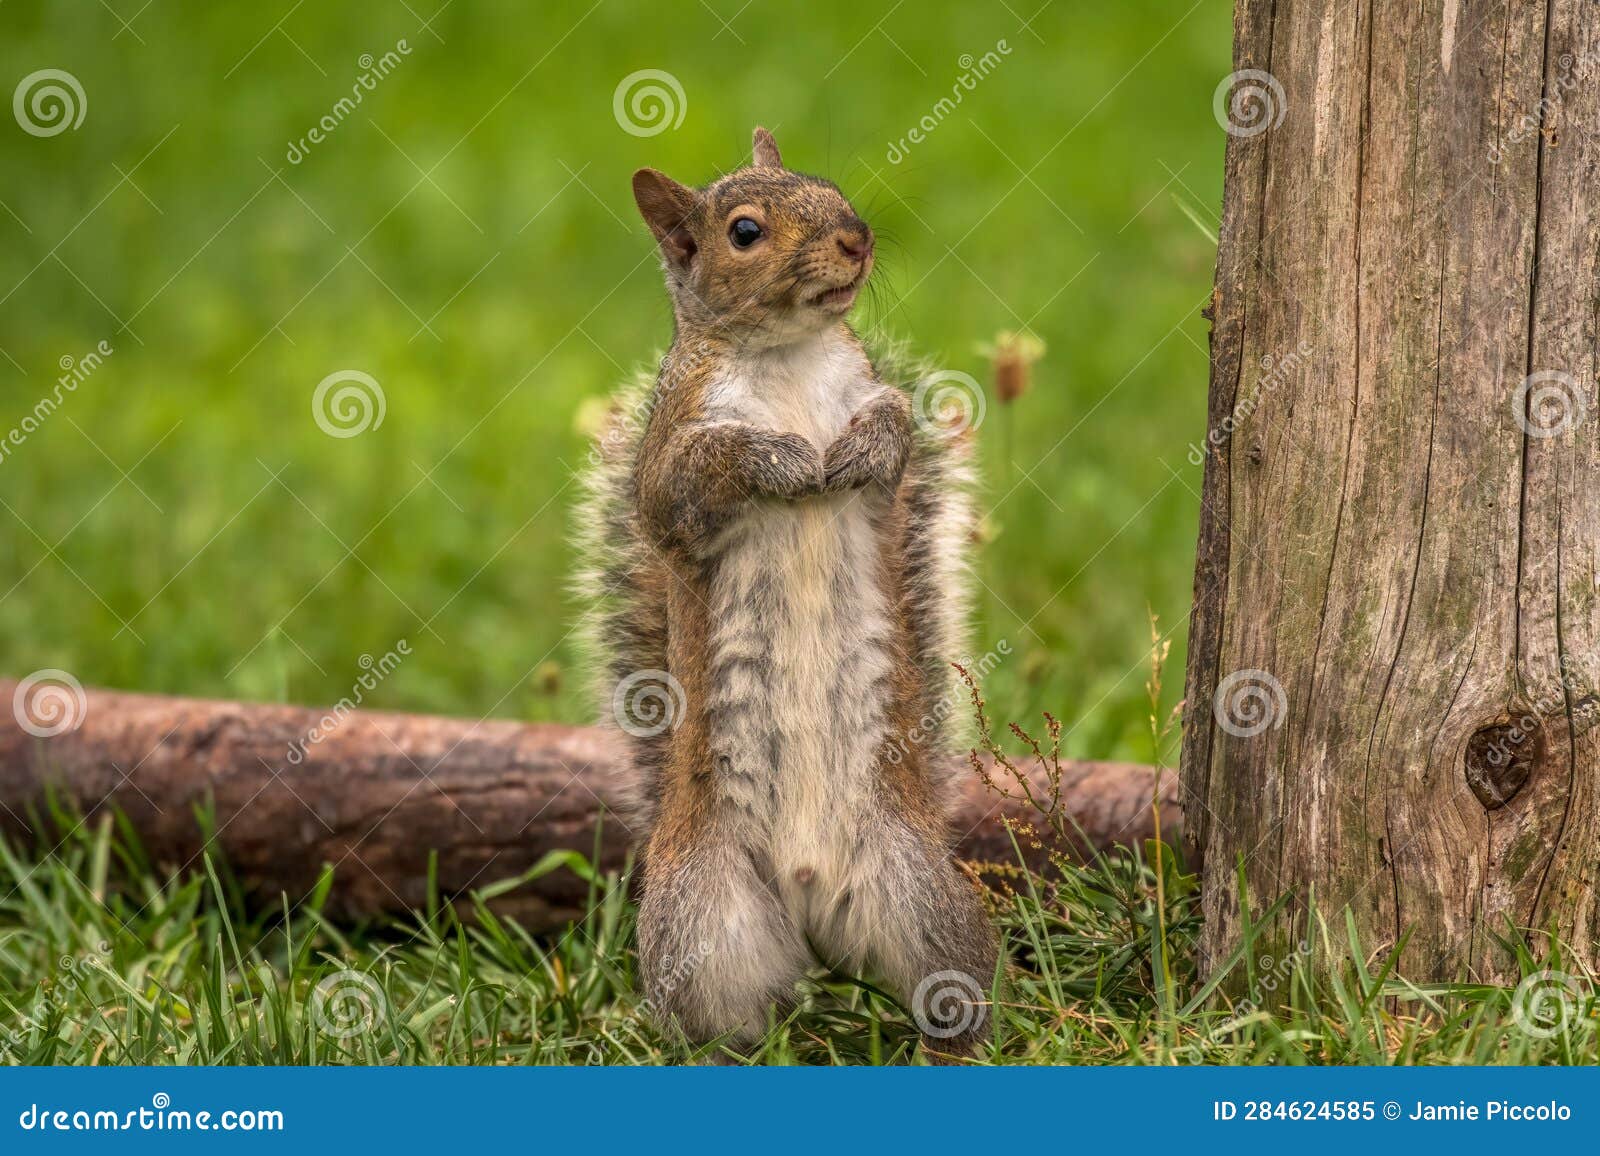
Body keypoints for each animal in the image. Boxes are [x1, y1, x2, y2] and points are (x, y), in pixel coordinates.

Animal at [575, 127, 997, 1059]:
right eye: (743, 232)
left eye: (829, 187)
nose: (857, 238)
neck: (790, 356)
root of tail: (808, 897)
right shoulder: (674, 450)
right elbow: (693, 476)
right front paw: (782, 458)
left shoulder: (872, 409)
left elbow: (893, 431)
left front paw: (860, 446)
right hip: (703, 922)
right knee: (723, 1020)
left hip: (921, 900)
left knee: (948, 986)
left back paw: (955, 1046)